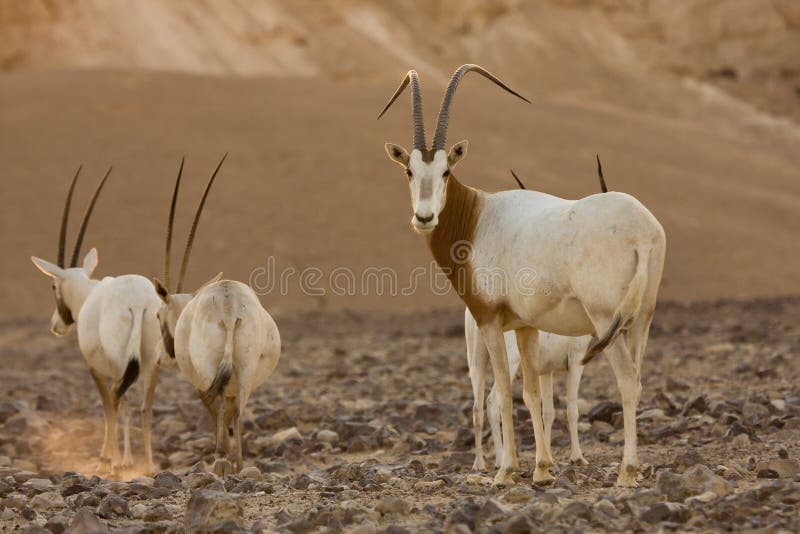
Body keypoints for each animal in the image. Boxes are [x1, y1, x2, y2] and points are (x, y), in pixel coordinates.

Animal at [31, 166, 162, 475]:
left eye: (52, 286)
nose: (55, 325)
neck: (89, 292)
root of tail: (137, 301)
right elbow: (127, 406)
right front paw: (126, 460)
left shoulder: (96, 368)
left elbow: (110, 407)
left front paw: (109, 460)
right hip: (150, 361)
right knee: (144, 407)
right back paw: (150, 466)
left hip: (119, 361)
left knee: (114, 398)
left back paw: (110, 466)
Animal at [152, 155, 281, 475]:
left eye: (158, 316)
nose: (160, 357)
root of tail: (229, 303)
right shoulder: (233, 383)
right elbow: (233, 412)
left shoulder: (200, 381)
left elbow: (213, 409)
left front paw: (219, 455)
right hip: (246, 369)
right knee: (239, 412)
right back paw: (239, 464)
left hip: (211, 368)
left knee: (221, 407)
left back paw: (221, 460)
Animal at [468, 158, 610, 472]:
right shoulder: (575, 362)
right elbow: (570, 408)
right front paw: (577, 457)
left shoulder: (546, 370)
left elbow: (548, 411)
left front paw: (548, 458)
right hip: (509, 362)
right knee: (494, 401)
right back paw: (501, 460)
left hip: (477, 360)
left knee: (477, 405)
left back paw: (481, 463)